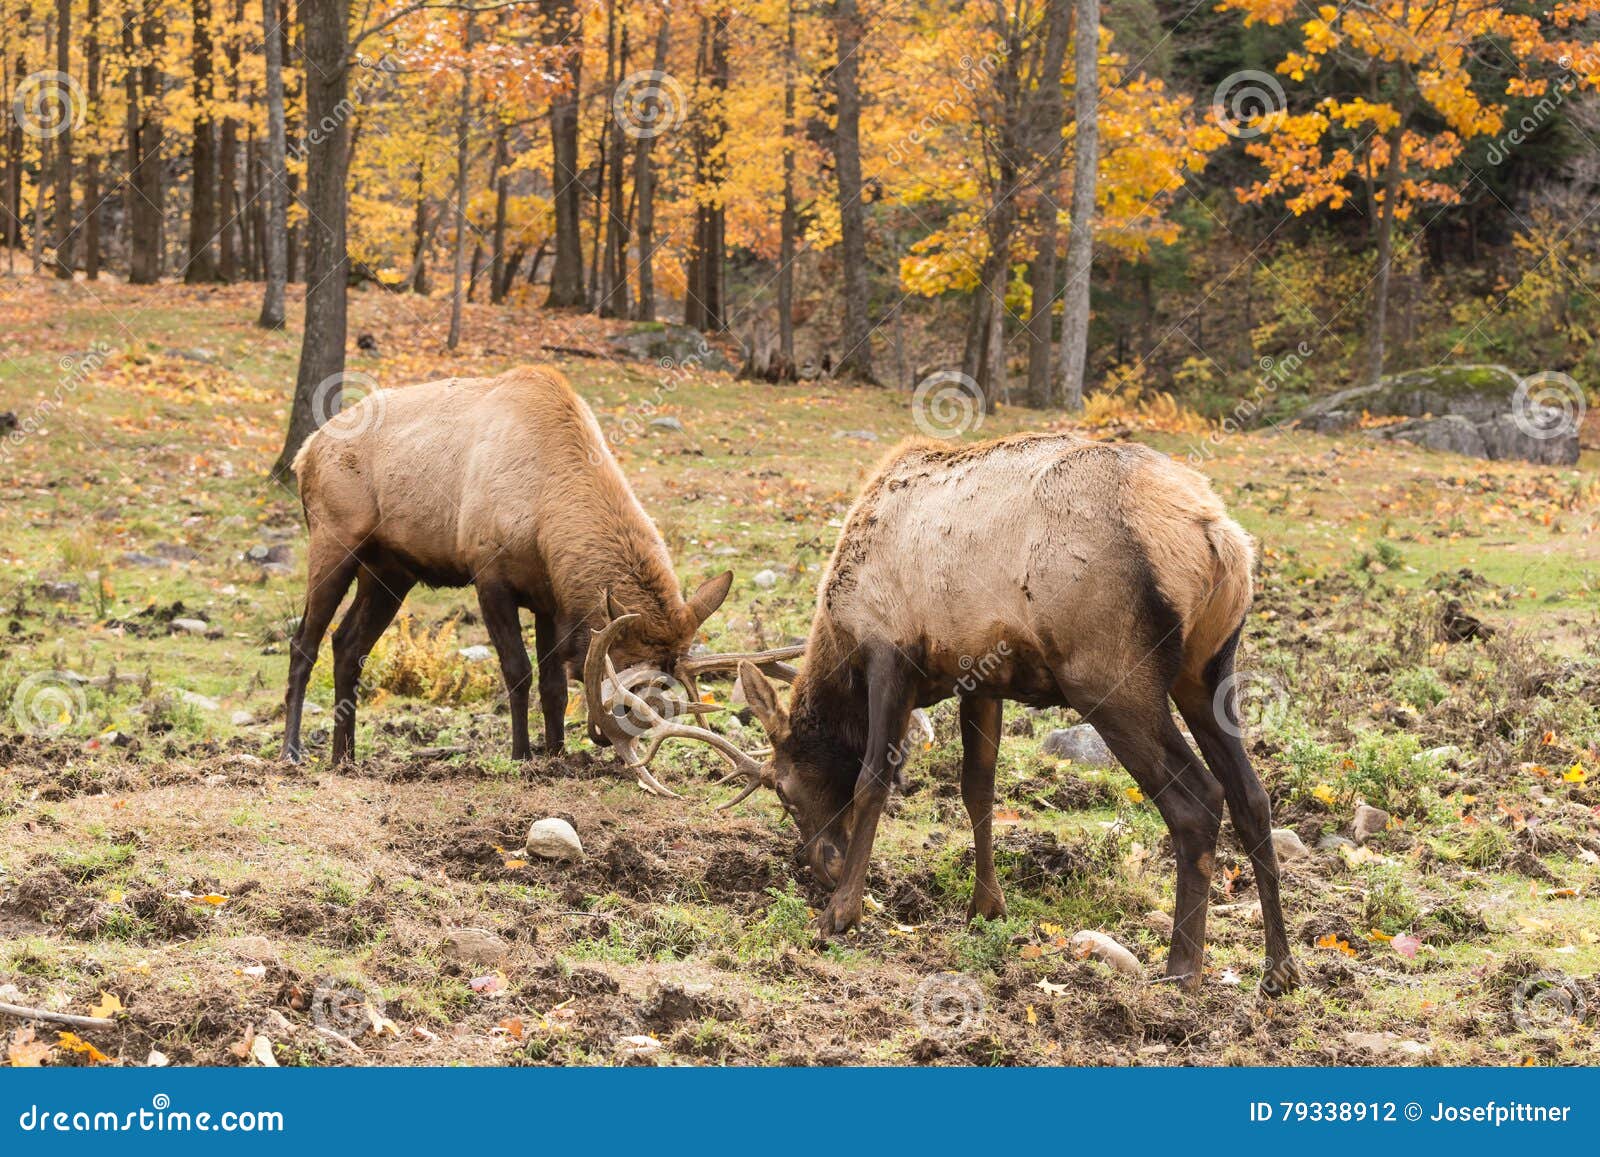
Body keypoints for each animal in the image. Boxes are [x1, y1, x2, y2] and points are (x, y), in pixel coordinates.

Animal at [283, 365, 735, 794]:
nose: (611, 735)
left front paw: (557, 754)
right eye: (623, 667)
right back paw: (293, 752)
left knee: (347, 644)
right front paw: (522, 756)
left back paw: (345, 757)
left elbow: (554, 687)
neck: (546, 521)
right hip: (333, 542)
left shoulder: (550, 601)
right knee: (304, 642)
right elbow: (518, 671)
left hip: (389, 572)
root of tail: (305, 453)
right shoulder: (490, 577)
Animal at [584, 432, 1299, 994]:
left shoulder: (891, 653)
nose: (819, 863)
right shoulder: (980, 676)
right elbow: (977, 787)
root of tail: (1218, 540)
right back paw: (1279, 969)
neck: (840, 631)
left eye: (783, 790)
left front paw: (841, 913)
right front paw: (986, 905)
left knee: (1197, 799)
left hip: (1111, 676)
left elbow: (874, 779)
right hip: (1207, 670)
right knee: (1253, 794)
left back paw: (1181, 969)